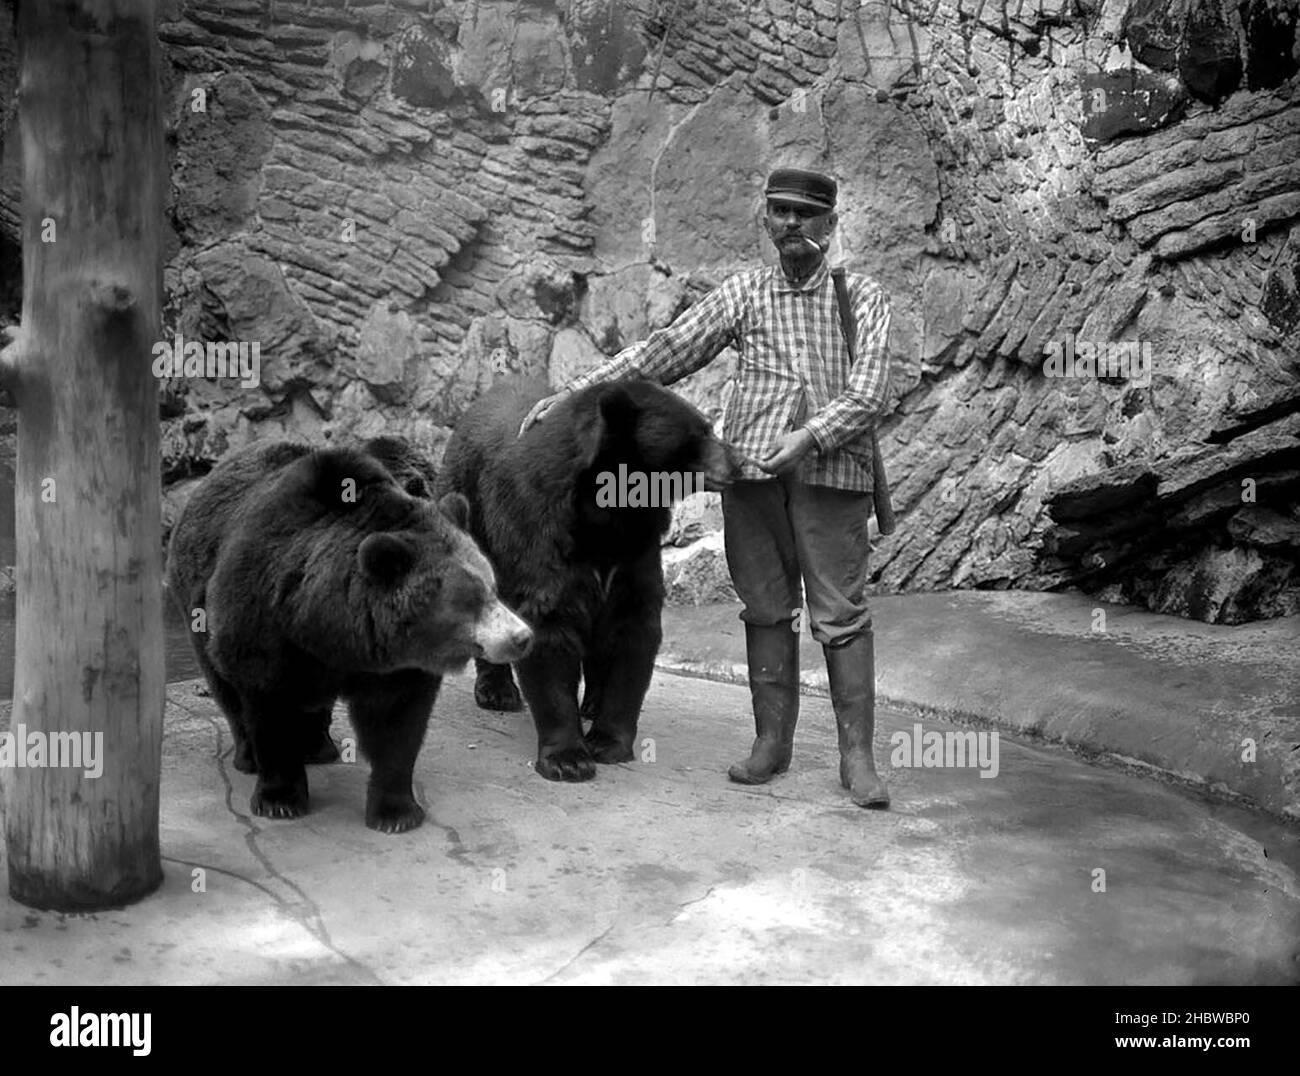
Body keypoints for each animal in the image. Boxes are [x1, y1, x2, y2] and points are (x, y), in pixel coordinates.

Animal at [165, 438, 533, 833]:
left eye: (493, 586)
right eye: (471, 598)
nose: (522, 636)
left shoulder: (394, 662)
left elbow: (396, 724)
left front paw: (396, 811)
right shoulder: (264, 625)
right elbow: (269, 708)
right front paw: (280, 799)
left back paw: (318, 746)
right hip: (196, 604)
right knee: (226, 687)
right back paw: (249, 756)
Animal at [438, 375, 743, 782]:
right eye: (704, 430)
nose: (739, 461)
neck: (611, 511)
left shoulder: (637, 552)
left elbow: (634, 630)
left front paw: (608, 741)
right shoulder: (540, 534)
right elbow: (548, 626)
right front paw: (568, 758)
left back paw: (592, 702)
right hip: (469, 509)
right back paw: (497, 691)